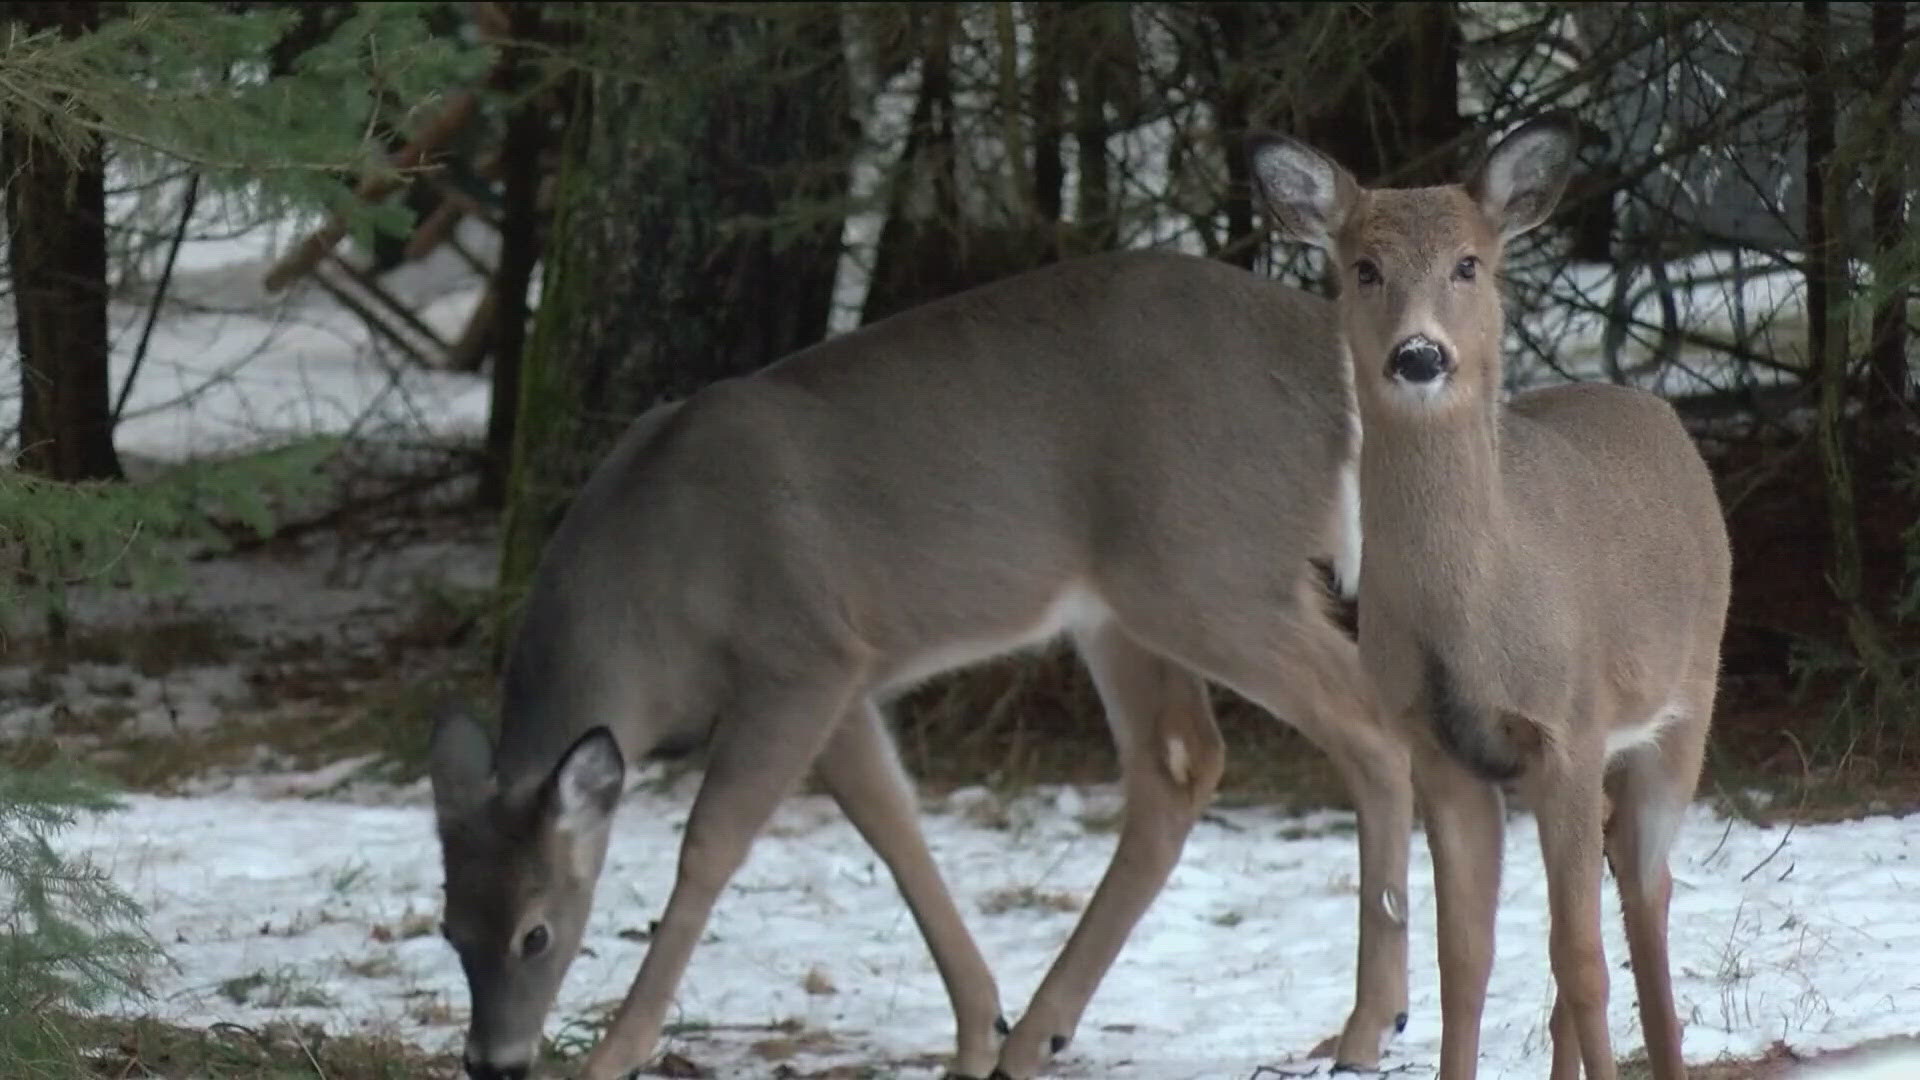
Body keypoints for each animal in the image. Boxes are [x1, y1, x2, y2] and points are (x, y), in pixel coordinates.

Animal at [426, 249, 1420, 1080]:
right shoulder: (845, 681)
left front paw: (615, 1053)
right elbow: (893, 825)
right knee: (1179, 765)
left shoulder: (800, 653)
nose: (493, 1063)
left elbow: (710, 845)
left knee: (1373, 728)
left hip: (1210, 568)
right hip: (1124, 605)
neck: (650, 600)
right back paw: (1038, 1034)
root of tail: (1336, 377)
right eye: (448, 928)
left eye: (536, 935)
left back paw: (1369, 1025)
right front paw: (977, 1027)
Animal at [1247, 115, 1732, 1080]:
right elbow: (1463, 958)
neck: (1470, 618)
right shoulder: (1438, 748)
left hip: (1686, 702)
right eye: (1365, 266)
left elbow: (1580, 959)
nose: (1419, 353)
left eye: (1469, 263)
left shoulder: (1567, 726)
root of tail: (1655, 408)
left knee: (1644, 892)